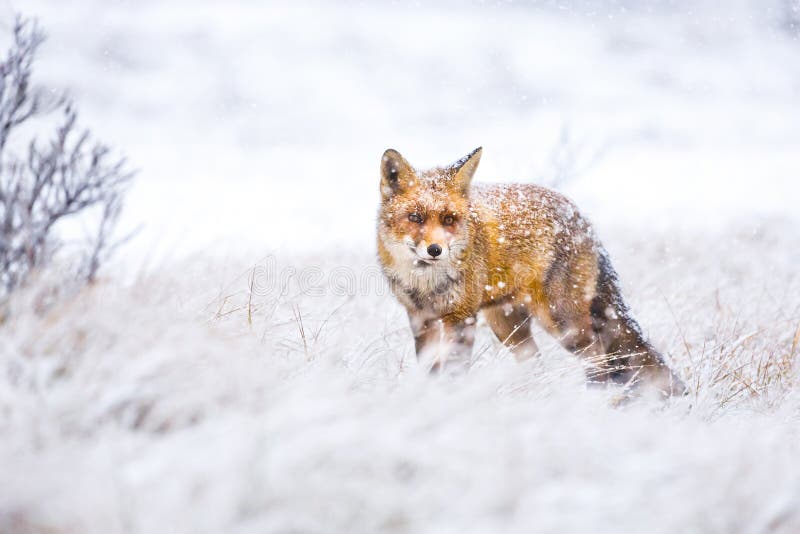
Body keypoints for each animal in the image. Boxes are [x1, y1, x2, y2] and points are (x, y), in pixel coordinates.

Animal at [376, 147, 686, 397]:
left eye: (449, 219)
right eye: (415, 217)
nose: (435, 250)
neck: (426, 284)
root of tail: (581, 217)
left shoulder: (461, 317)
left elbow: (453, 372)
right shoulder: (421, 319)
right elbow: (430, 371)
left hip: (562, 323)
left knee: (598, 358)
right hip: (507, 325)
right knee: (537, 361)